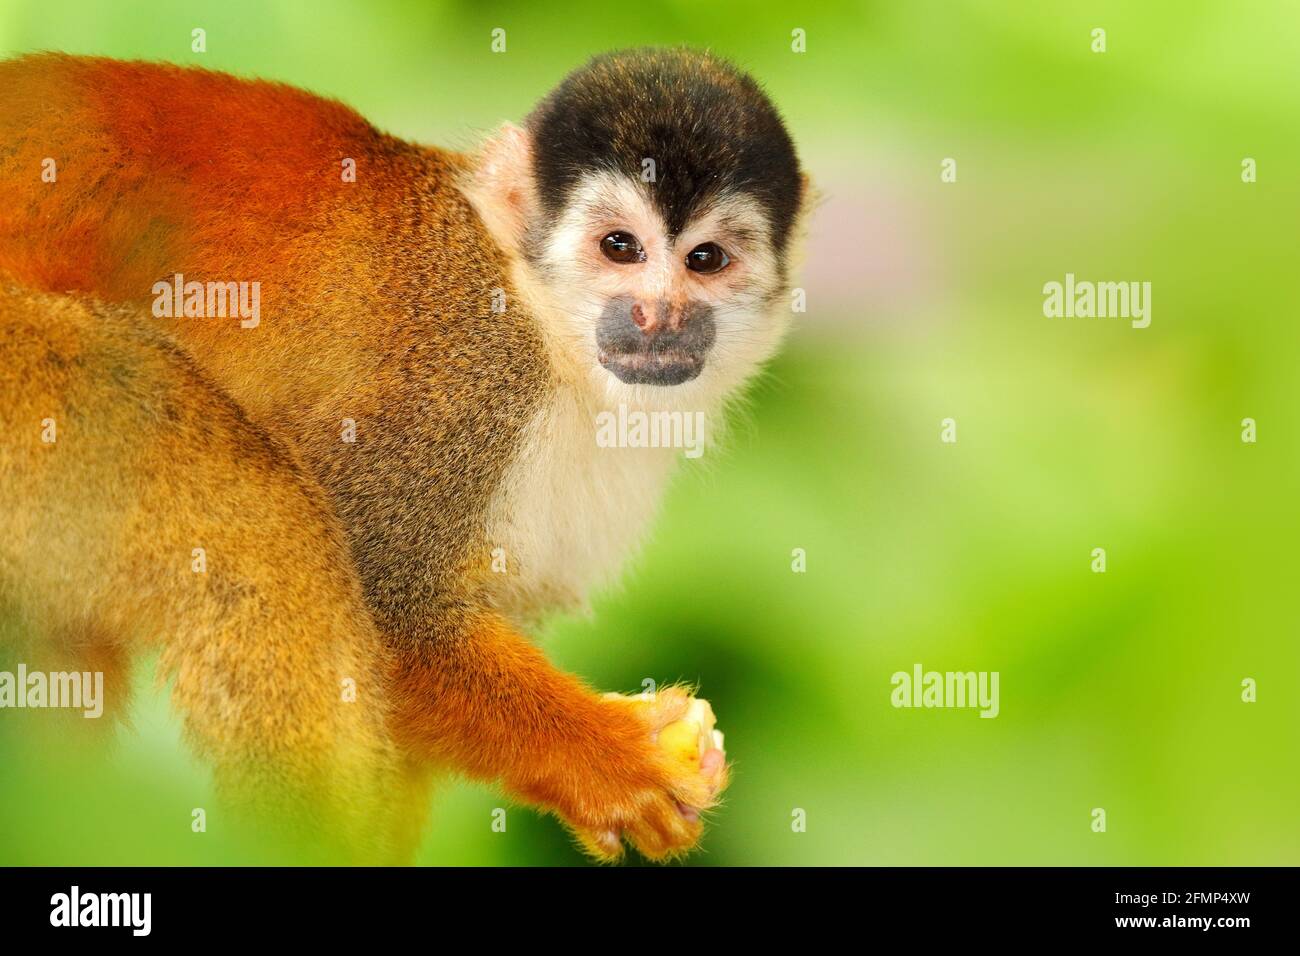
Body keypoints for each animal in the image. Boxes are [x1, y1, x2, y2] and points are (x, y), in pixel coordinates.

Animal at [0, 48, 809, 862]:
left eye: (706, 259)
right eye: (620, 247)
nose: (657, 316)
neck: (549, 334)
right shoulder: (463, 380)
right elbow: (392, 608)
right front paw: (617, 762)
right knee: (257, 523)